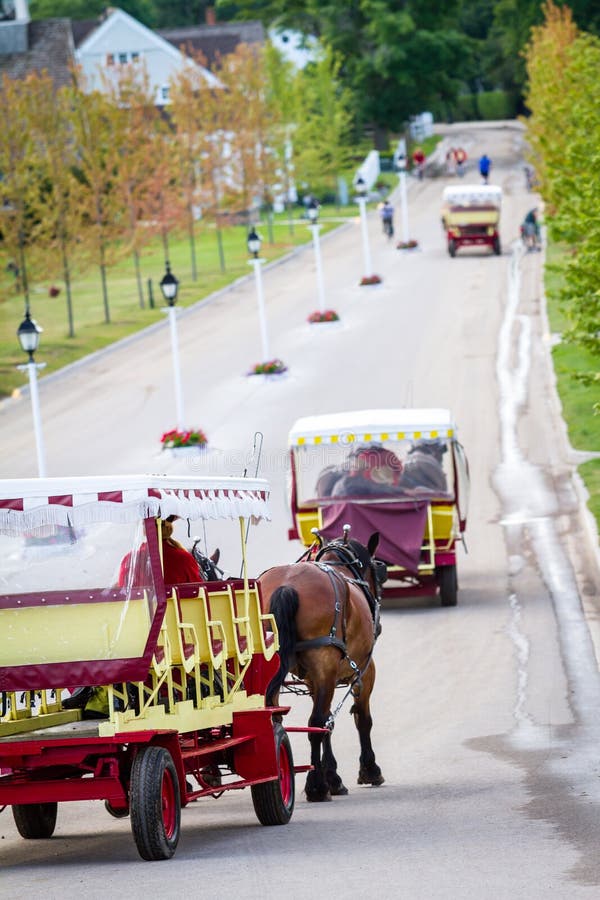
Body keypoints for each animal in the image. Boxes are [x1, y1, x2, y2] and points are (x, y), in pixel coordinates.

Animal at [257, 529, 387, 802]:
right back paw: (315, 785)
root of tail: (286, 586)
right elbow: (362, 719)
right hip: (326, 664)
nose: (377, 624)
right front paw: (369, 769)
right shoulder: (365, 671)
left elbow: (330, 722)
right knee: (316, 722)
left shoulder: (313, 679)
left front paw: (334, 777)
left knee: (277, 717)